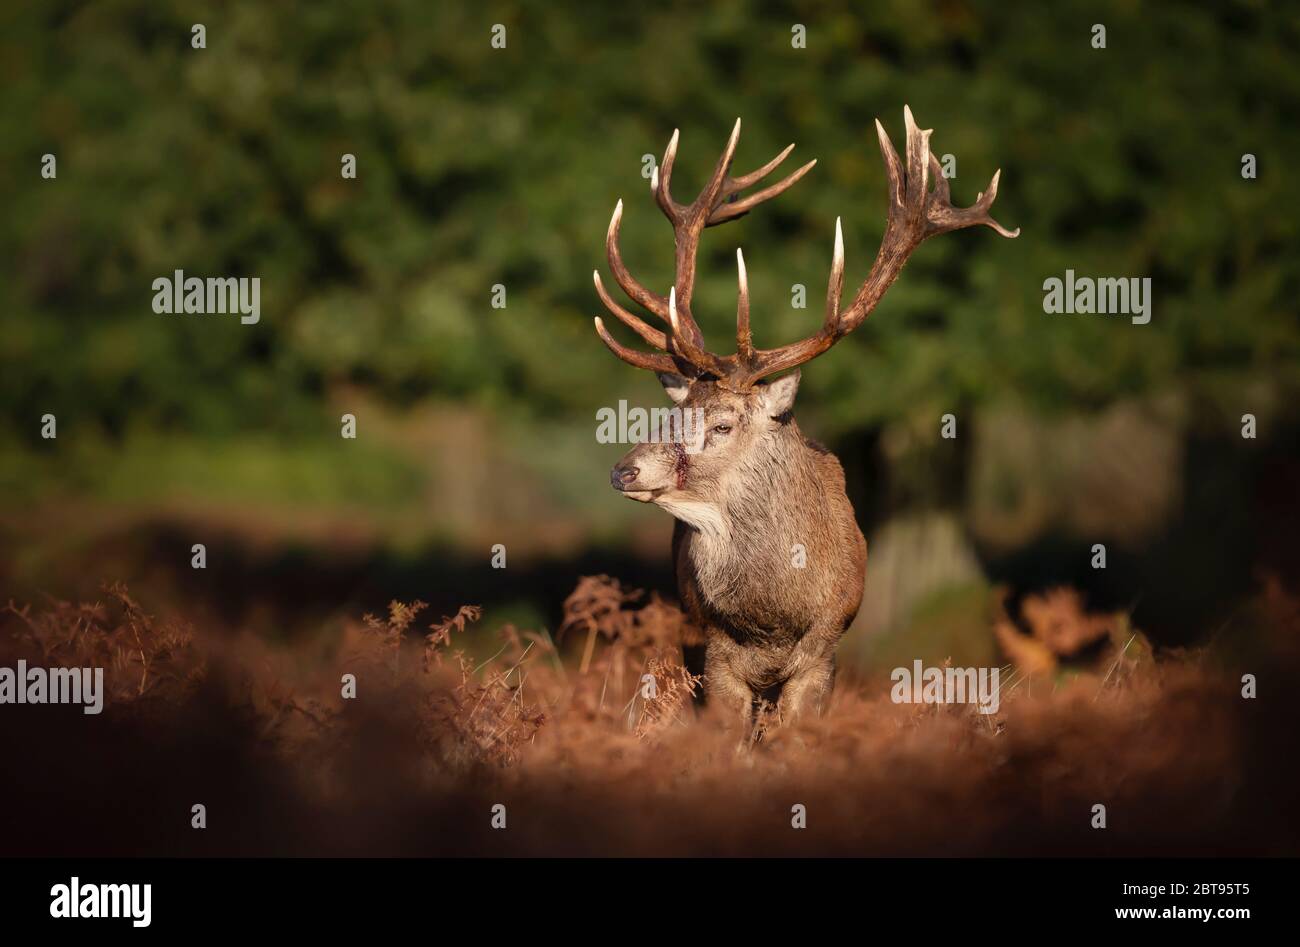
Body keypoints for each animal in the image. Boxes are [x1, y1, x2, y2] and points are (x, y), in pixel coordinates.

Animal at [592, 107, 1017, 732]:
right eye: (674, 413)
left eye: (722, 424)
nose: (623, 471)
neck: (773, 618)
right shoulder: (713, 654)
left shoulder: (825, 651)